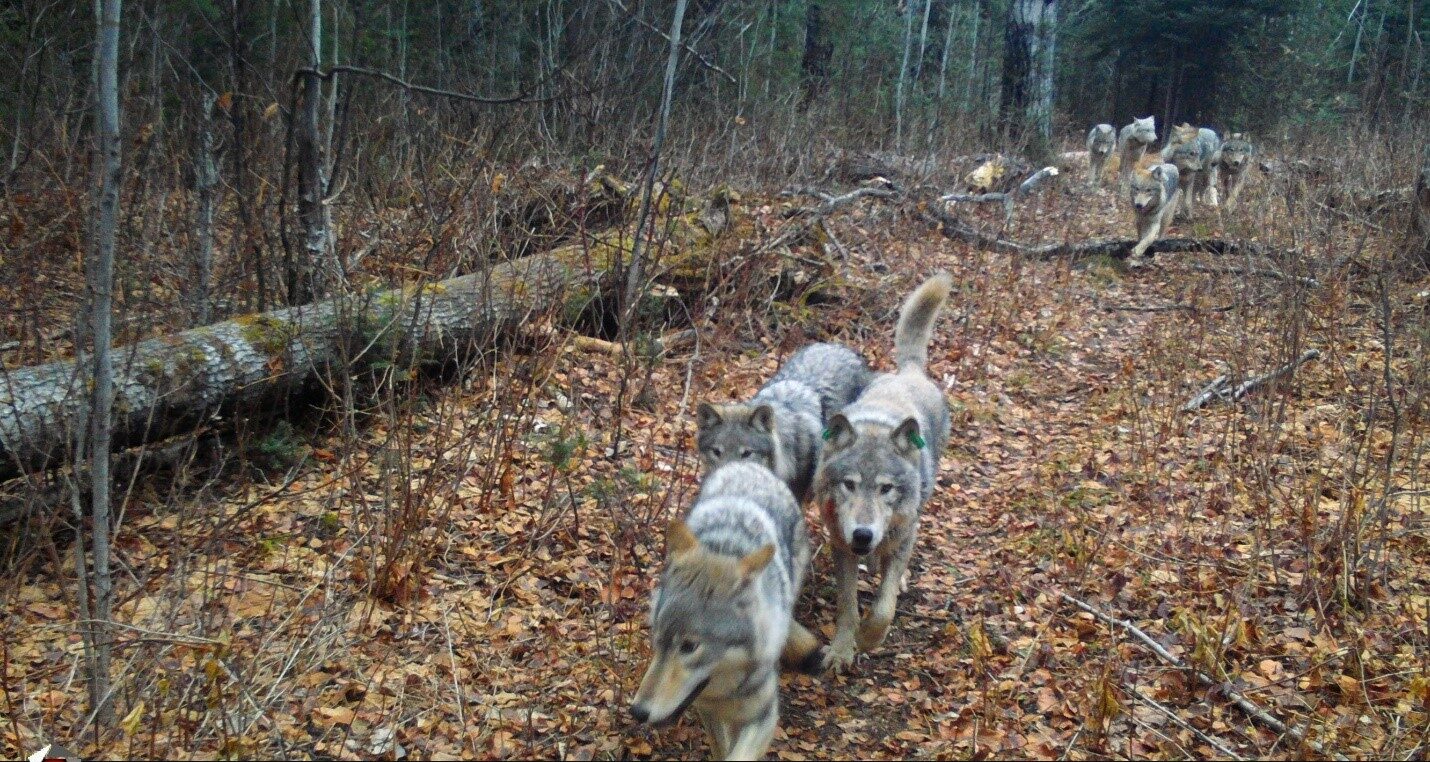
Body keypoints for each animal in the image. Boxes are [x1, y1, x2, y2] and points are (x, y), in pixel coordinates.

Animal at [631, 461, 822, 761]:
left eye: (689, 646)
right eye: (657, 638)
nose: (637, 712)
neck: (727, 692)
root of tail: (747, 464)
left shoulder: (763, 718)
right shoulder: (709, 712)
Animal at [814, 273, 953, 672]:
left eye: (886, 488)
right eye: (849, 485)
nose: (863, 533)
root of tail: (909, 371)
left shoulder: (902, 534)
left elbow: (883, 609)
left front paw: (867, 639)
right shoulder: (841, 545)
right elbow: (847, 606)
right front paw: (842, 650)